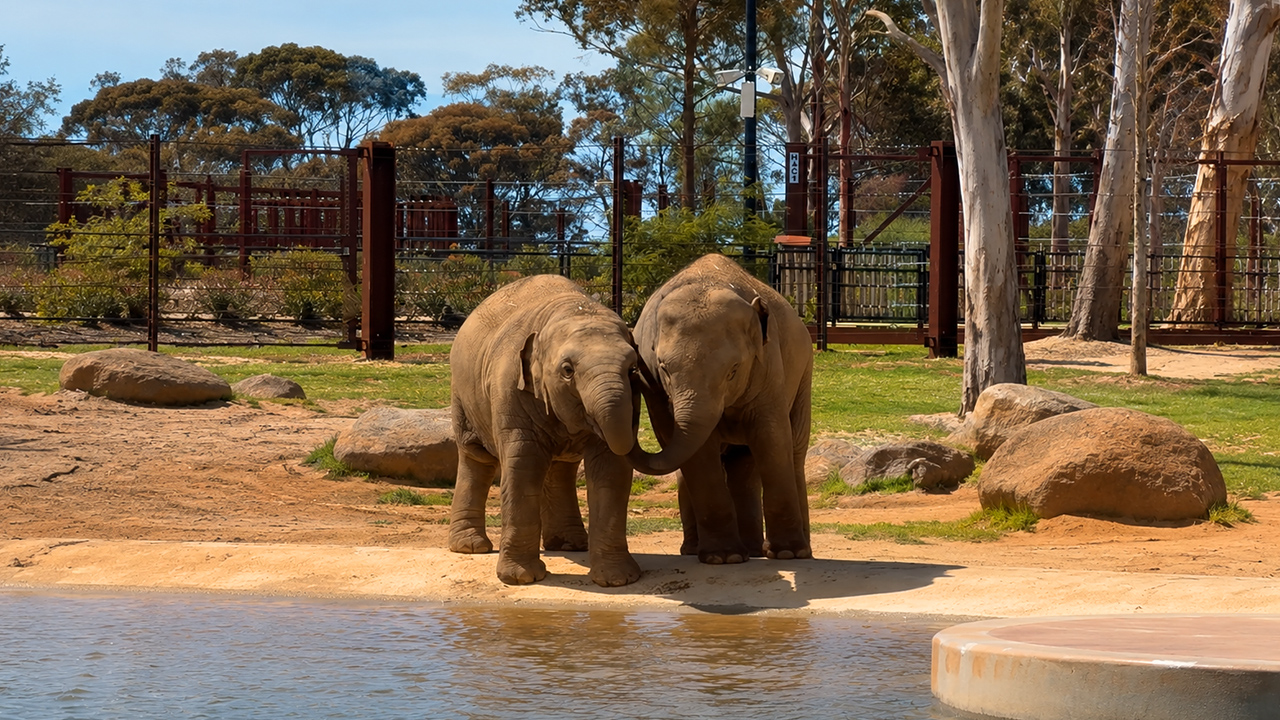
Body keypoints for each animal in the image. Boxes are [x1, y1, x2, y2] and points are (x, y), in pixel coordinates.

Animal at [448, 274, 643, 587]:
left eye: (633, 369)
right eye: (567, 370)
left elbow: (611, 469)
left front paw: (618, 580)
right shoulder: (510, 389)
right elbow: (522, 467)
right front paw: (521, 578)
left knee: (560, 467)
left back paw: (569, 545)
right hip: (463, 395)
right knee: (475, 459)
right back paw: (471, 547)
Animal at [629, 253, 813, 564]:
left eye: (733, 370)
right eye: (663, 368)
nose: (633, 373)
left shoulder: (769, 365)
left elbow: (771, 437)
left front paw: (787, 553)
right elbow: (699, 451)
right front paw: (722, 558)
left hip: (804, 373)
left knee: (792, 451)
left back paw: (793, 551)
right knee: (730, 463)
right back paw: (705, 551)